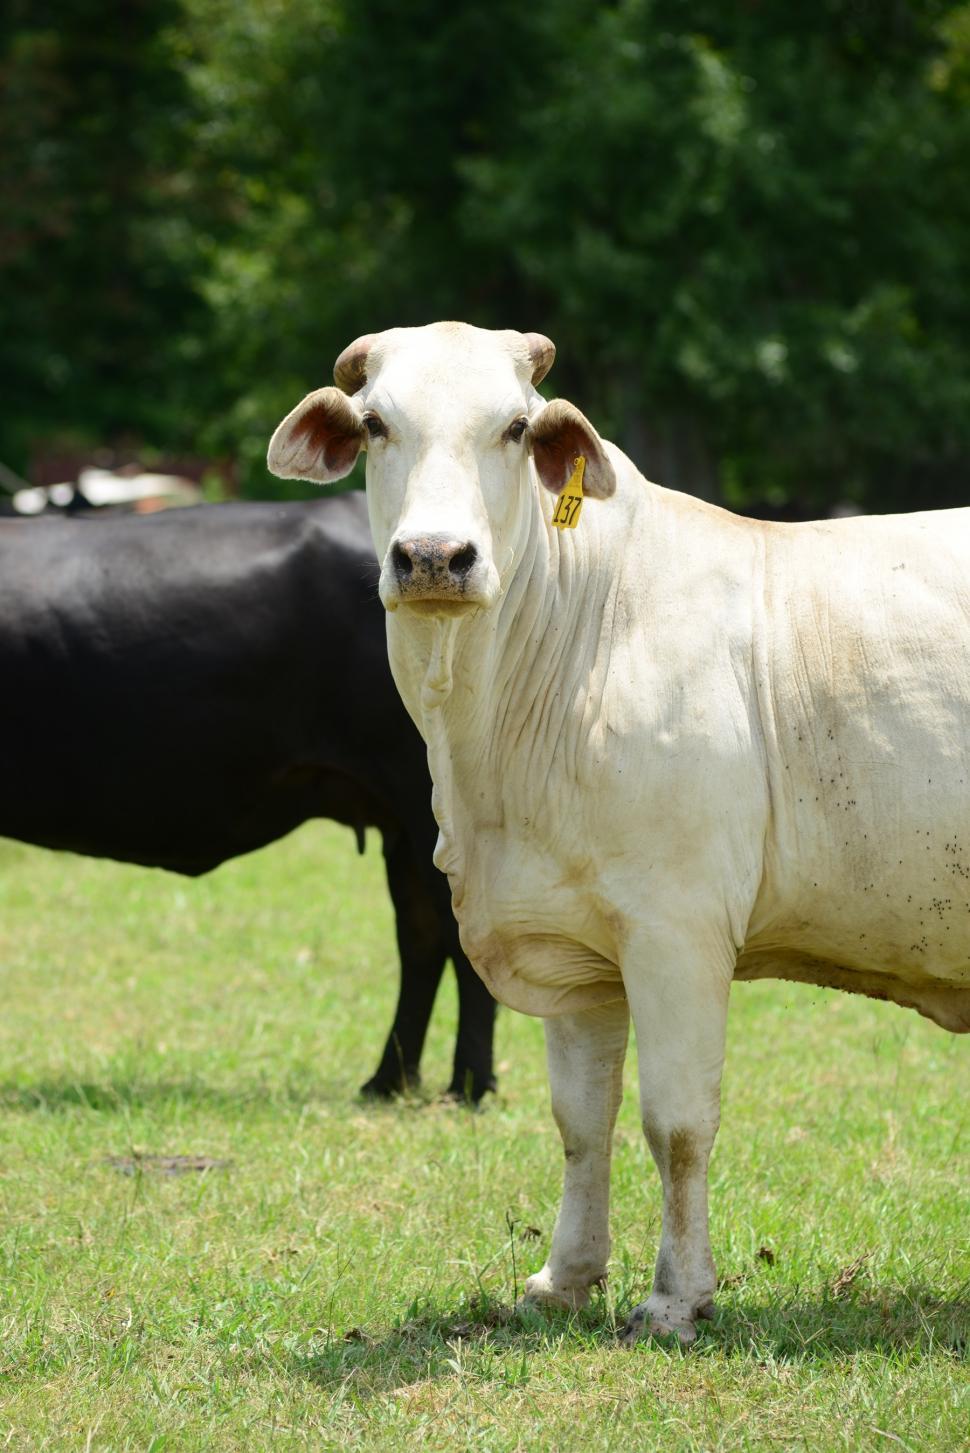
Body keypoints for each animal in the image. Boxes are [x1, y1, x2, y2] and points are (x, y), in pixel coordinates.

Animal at [268, 321, 970, 1344]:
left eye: (515, 427)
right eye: (376, 424)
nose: (434, 556)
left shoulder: (678, 930)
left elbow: (675, 1122)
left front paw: (676, 1296)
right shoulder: (573, 950)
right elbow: (580, 1122)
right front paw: (565, 1277)